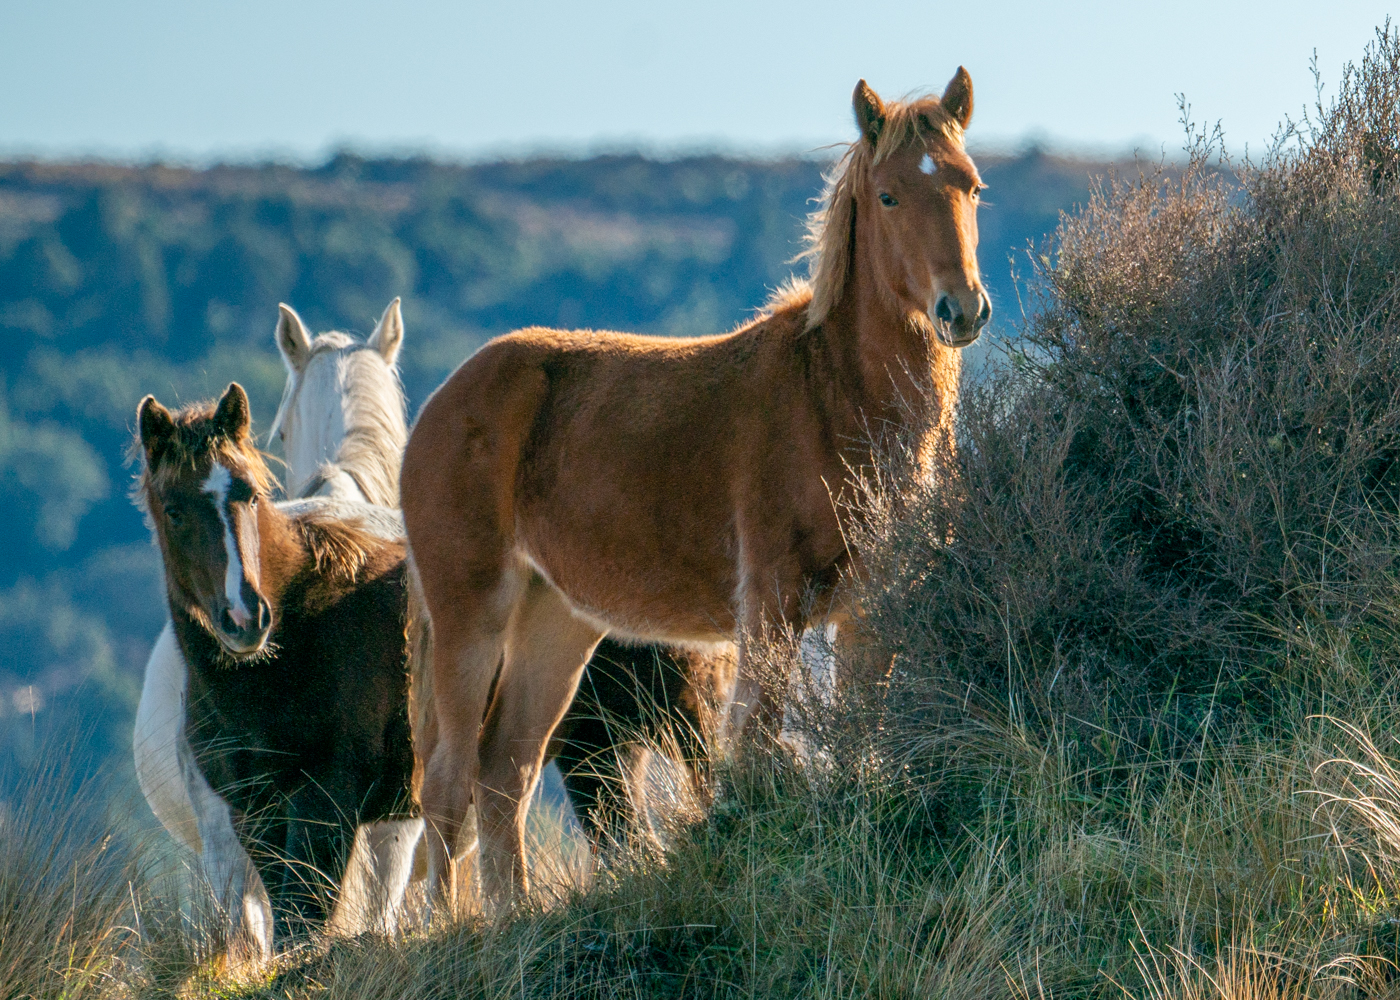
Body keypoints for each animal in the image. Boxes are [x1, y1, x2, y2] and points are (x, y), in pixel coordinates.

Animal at [400, 70, 992, 903]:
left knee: (503, 771)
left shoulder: (867, 609)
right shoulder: (771, 601)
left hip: (556, 621)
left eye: (972, 187)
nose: (961, 310)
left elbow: (858, 740)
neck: (831, 395)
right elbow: (757, 743)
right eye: (889, 196)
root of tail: (439, 403)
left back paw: (512, 916)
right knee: (450, 786)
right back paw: (457, 924)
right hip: (471, 612)